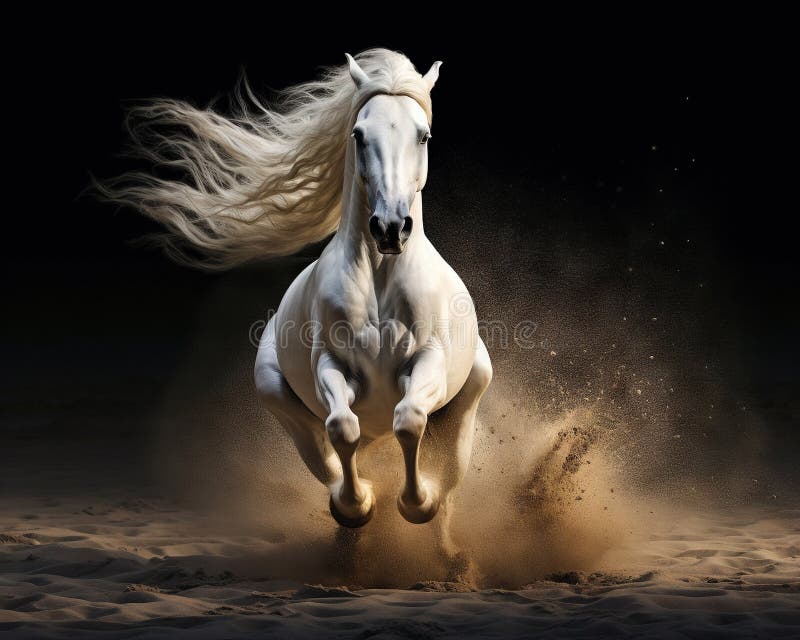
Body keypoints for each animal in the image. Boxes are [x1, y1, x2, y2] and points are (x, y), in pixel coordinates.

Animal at [102, 49, 492, 569]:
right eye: (358, 134)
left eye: (423, 135)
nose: (391, 228)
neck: (380, 278)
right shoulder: (332, 366)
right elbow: (342, 428)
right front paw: (358, 506)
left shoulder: (425, 361)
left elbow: (409, 420)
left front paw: (416, 505)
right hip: (278, 397)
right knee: (330, 454)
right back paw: (349, 535)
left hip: (468, 397)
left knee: (445, 476)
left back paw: (451, 557)